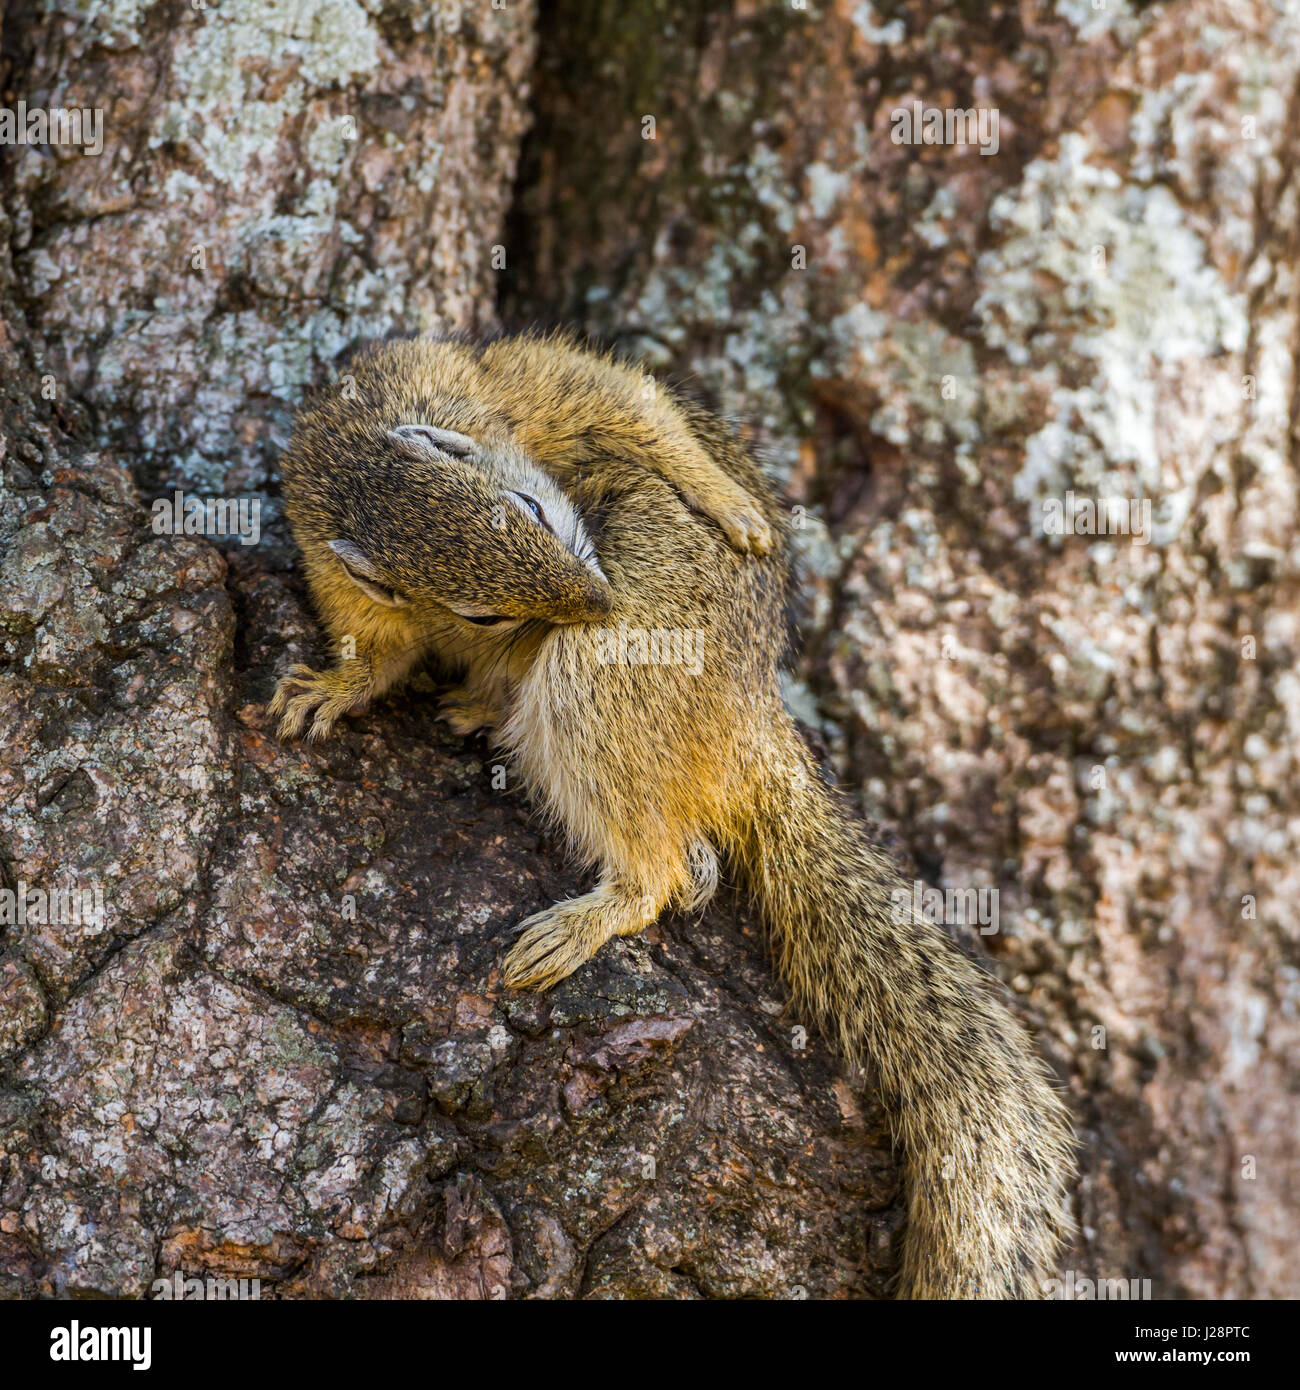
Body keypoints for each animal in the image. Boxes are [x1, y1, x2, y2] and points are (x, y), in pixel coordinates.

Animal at [269, 332, 1076, 1299]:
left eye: (530, 508)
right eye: (477, 608)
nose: (597, 601)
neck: (358, 446)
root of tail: (749, 719)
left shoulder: (499, 384)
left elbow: (625, 405)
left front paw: (731, 504)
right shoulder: (350, 580)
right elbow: (378, 655)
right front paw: (334, 689)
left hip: (604, 676)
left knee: (665, 874)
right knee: (684, 862)